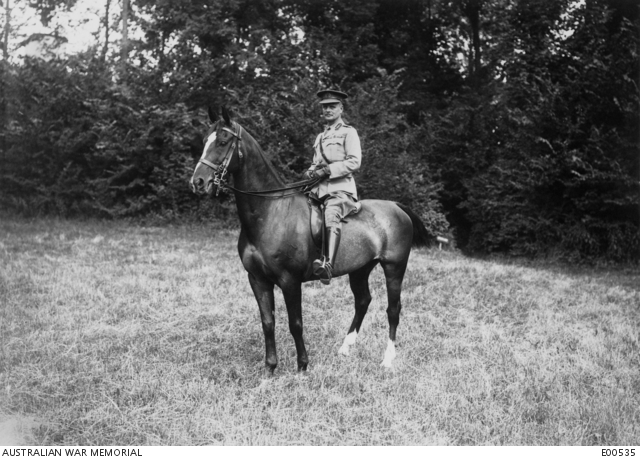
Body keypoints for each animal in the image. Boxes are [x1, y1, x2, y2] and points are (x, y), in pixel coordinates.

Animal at [190, 107, 431, 374]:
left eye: (223, 141)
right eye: (205, 141)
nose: (198, 182)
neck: (270, 212)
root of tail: (396, 206)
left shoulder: (290, 281)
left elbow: (295, 323)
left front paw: (302, 367)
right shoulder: (257, 280)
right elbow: (267, 322)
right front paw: (270, 368)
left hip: (394, 268)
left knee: (393, 309)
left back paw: (387, 359)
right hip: (360, 269)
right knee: (363, 301)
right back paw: (345, 348)